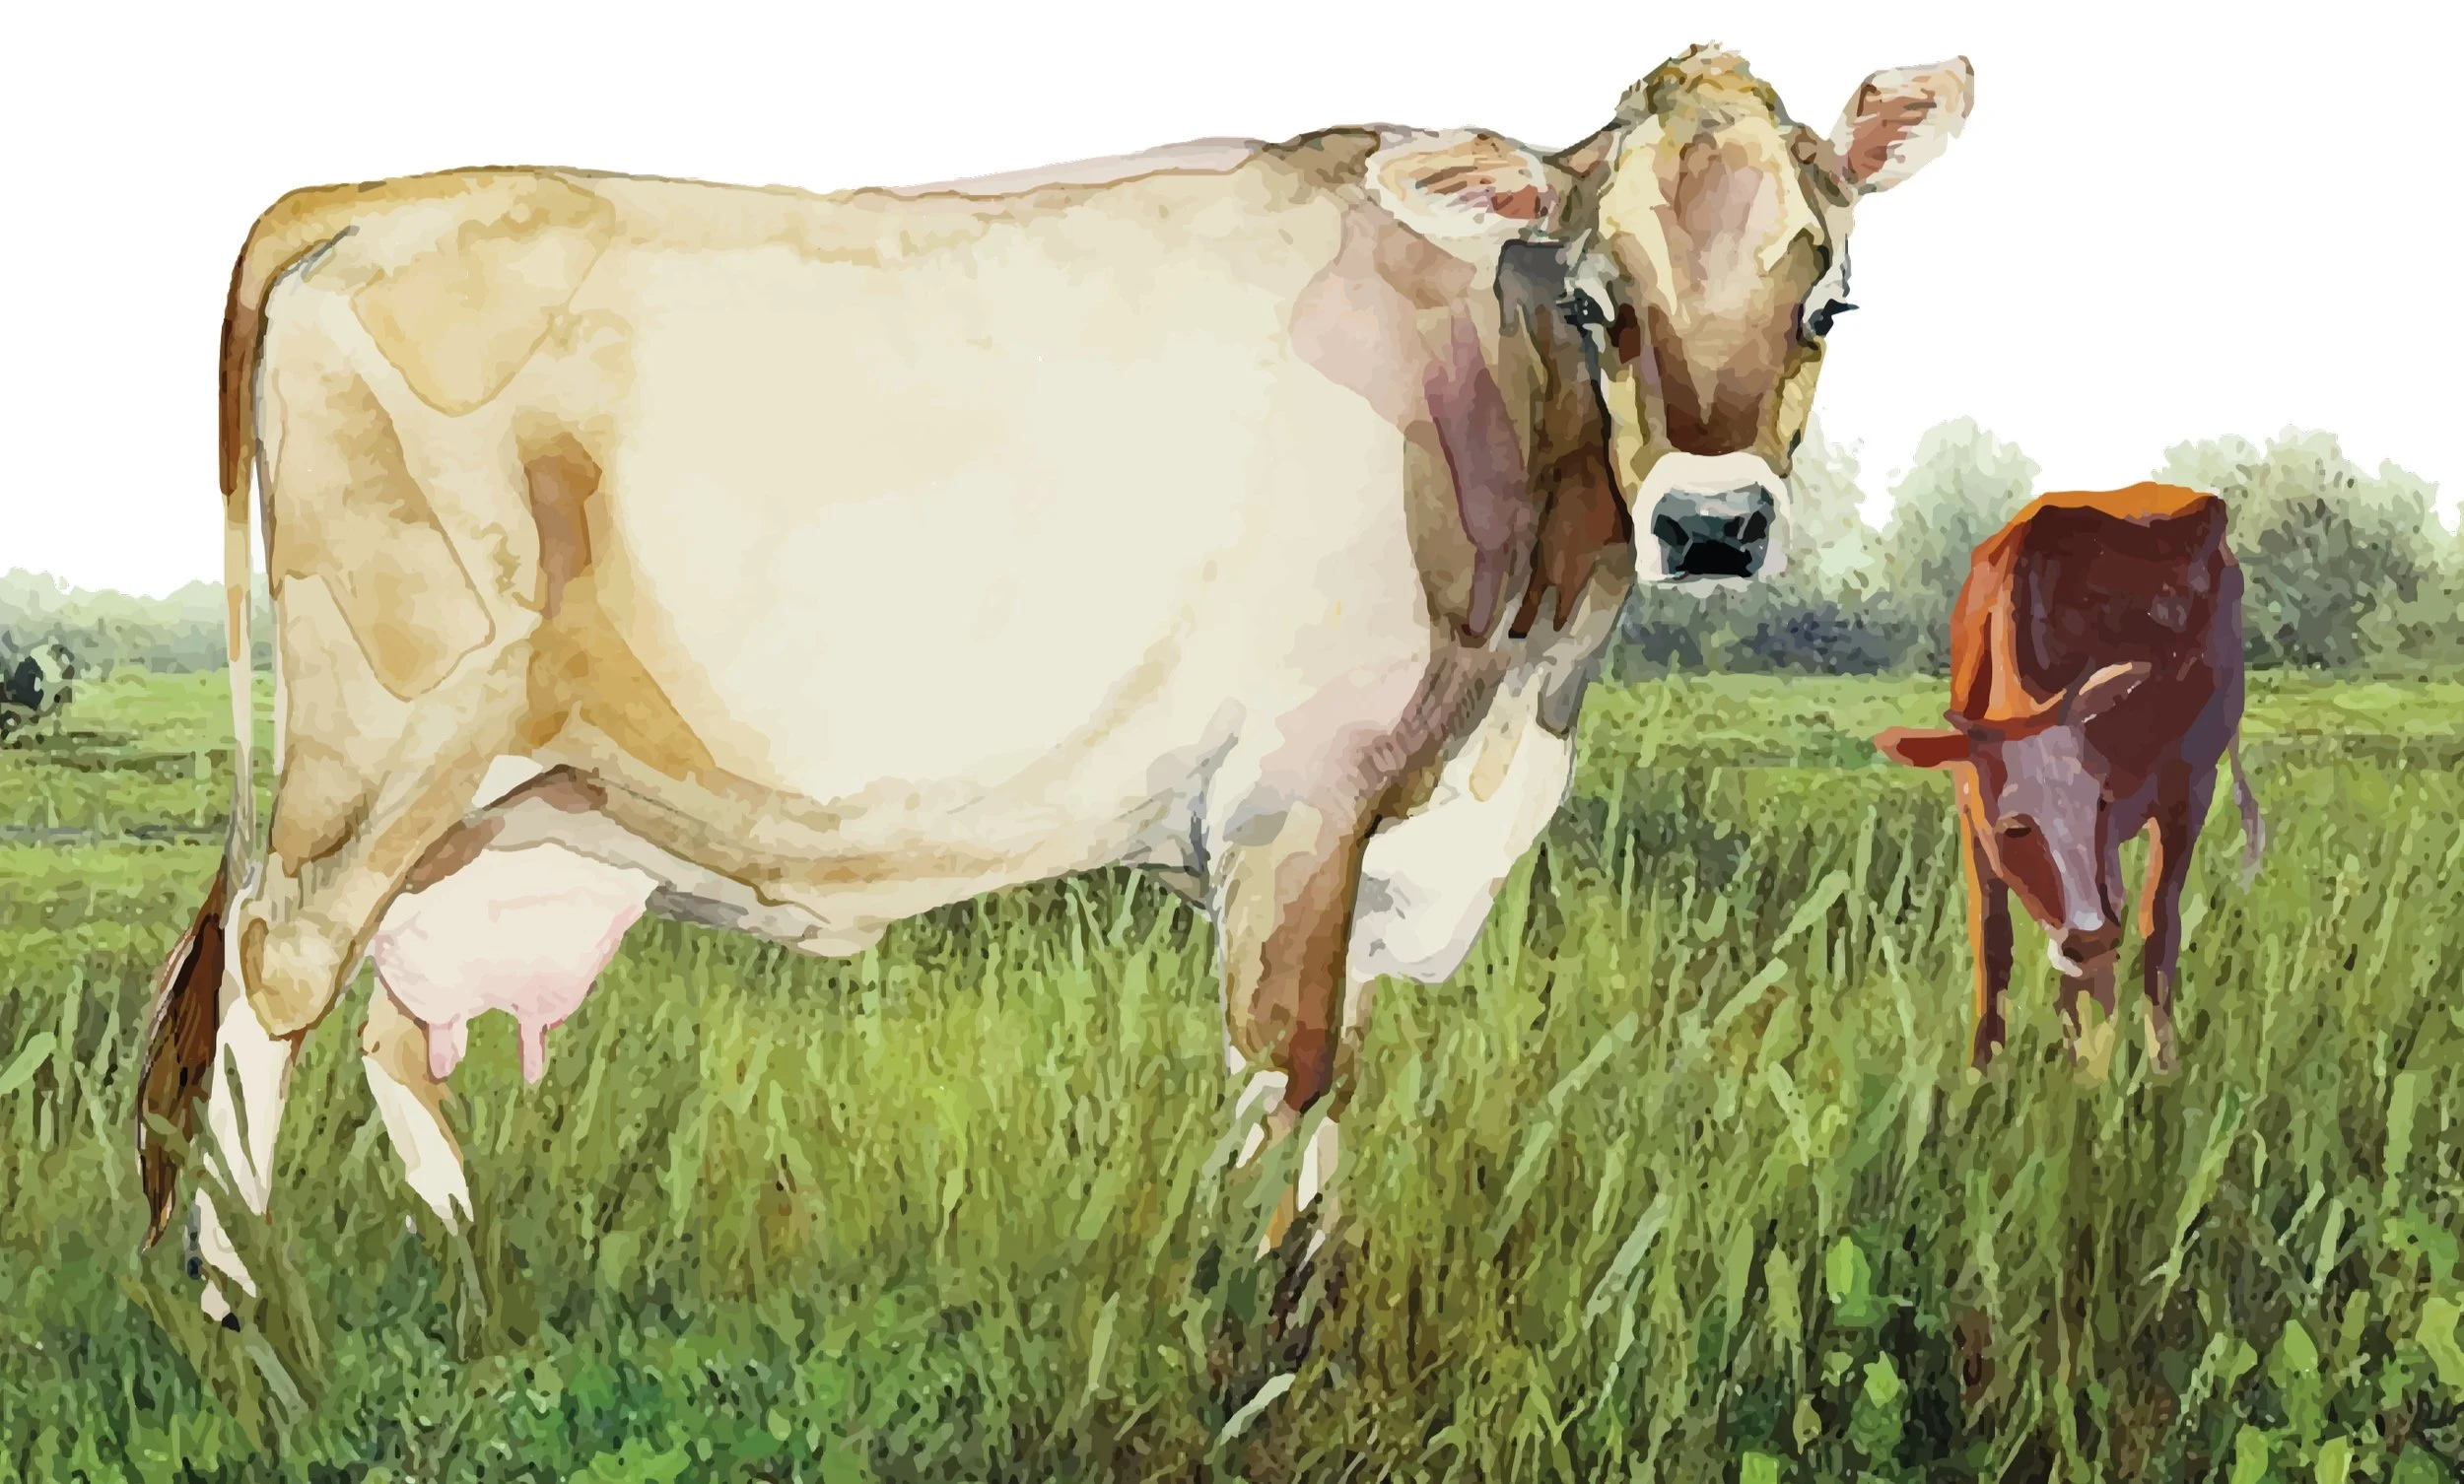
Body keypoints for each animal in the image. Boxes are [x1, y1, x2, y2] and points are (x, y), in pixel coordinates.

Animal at [135, 44, 1975, 1328]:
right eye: (1601, 299)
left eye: (1827, 299)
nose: (1716, 524)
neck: (1521, 680)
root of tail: (366, 195)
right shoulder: (1293, 808)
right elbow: (1283, 1074)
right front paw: (1264, 1340)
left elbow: (1331, 1092)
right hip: (377, 748)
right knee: (271, 973)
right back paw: (243, 1309)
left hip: (497, 813)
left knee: (392, 1023)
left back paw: (466, 1279)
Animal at [1873, 483, 2264, 1074]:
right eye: (2015, 828)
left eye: (2098, 805)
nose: (2088, 937)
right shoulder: (1971, 806)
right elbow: (1992, 940)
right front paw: (1983, 1071)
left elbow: (2142, 929)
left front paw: (2104, 1066)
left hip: (2190, 787)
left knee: (2156, 922)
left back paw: (2152, 1059)